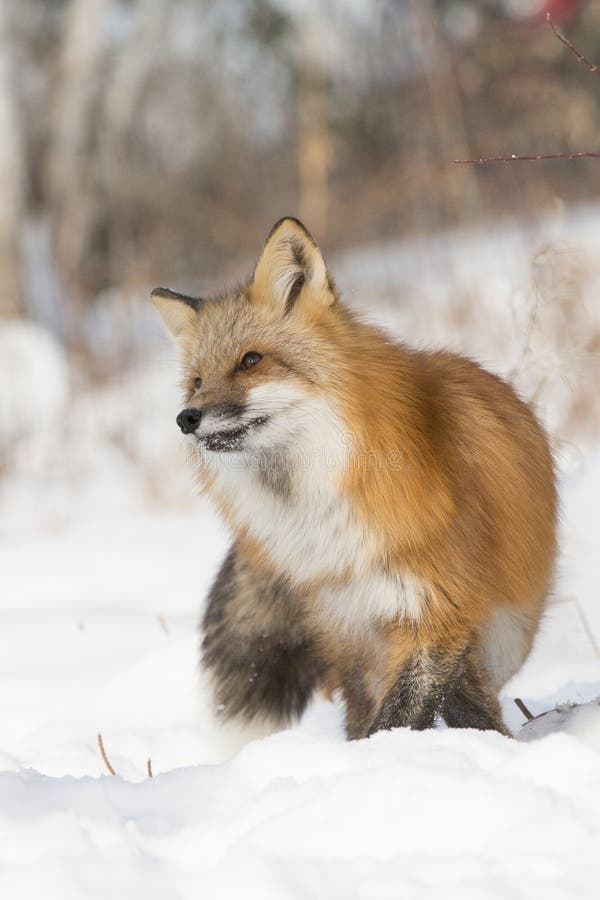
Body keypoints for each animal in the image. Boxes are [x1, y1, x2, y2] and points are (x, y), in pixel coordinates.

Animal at [152, 217, 557, 739]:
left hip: (508, 632)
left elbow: (401, 716)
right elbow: (376, 720)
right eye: (197, 382)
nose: (186, 418)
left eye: (250, 361)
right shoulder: (356, 629)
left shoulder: (435, 610)